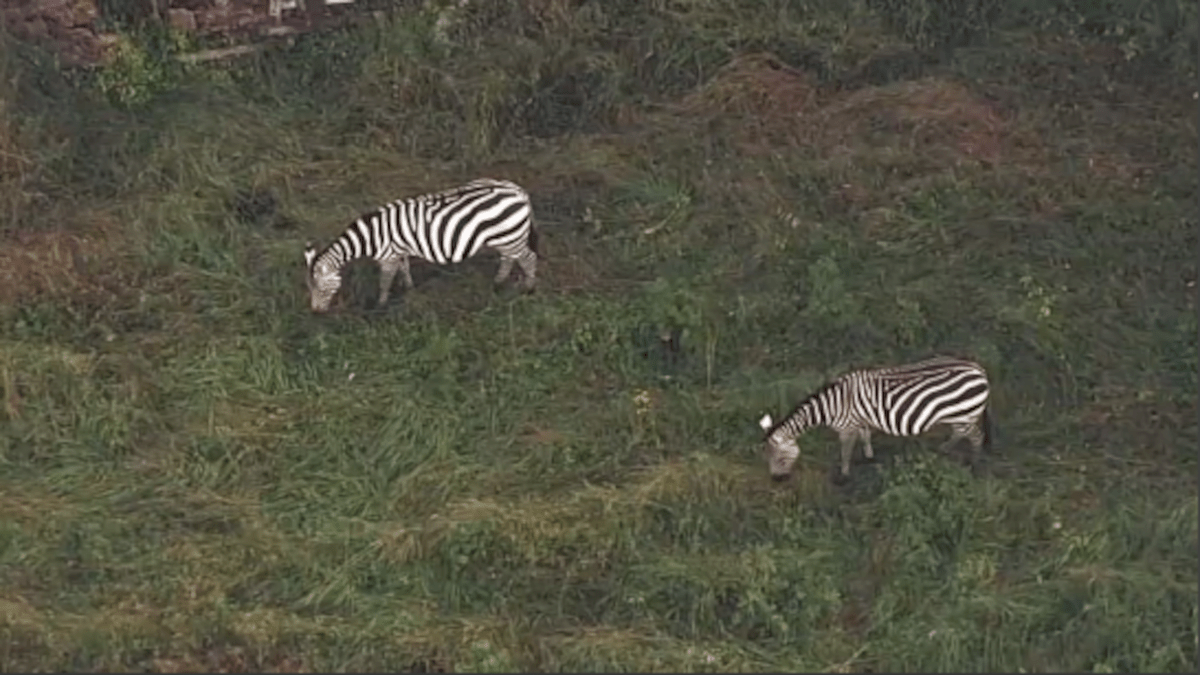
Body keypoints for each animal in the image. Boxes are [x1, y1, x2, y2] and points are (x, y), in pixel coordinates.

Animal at [303, 178, 538, 312]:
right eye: (310, 288)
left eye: (320, 288)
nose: (315, 312)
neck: (372, 236)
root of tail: (519, 191)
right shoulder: (399, 251)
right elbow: (405, 269)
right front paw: (409, 288)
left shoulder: (388, 257)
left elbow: (385, 281)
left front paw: (380, 304)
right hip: (505, 237)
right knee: (509, 258)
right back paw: (498, 283)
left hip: (510, 236)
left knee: (527, 259)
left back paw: (528, 288)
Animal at [757, 356, 992, 482]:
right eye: (767, 458)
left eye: (781, 459)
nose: (777, 481)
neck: (833, 405)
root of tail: (979, 369)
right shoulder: (860, 421)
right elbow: (866, 437)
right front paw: (869, 456)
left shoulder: (847, 427)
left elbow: (845, 451)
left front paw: (844, 475)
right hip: (960, 414)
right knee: (960, 433)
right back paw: (945, 449)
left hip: (963, 413)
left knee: (976, 436)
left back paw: (975, 465)